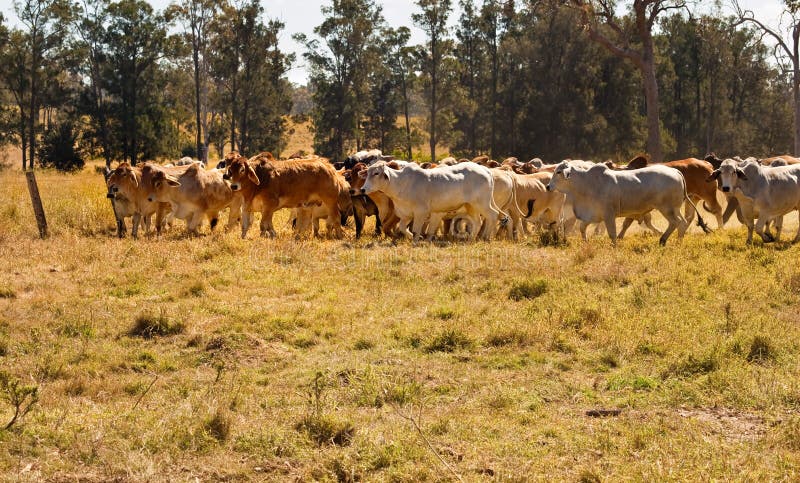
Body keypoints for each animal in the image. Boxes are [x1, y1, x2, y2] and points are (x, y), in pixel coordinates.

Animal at [360, 161, 509, 241]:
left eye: (376, 173)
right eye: (367, 173)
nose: (363, 189)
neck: (402, 183)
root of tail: (485, 170)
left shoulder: (421, 212)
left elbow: (416, 230)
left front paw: (416, 240)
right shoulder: (406, 214)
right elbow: (403, 227)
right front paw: (414, 237)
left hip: (482, 203)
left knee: (493, 215)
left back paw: (486, 237)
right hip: (471, 206)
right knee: (478, 222)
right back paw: (471, 239)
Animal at [547, 161, 710, 245]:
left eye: (559, 172)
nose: (548, 186)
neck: (586, 184)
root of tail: (675, 171)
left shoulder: (609, 215)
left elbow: (612, 233)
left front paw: (614, 247)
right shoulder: (592, 215)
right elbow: (582, 228)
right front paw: (585, 242)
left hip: (666, 208)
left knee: (676, 222)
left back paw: (663, 240)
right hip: (674, 208)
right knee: (682, 222)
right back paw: (677, 241)